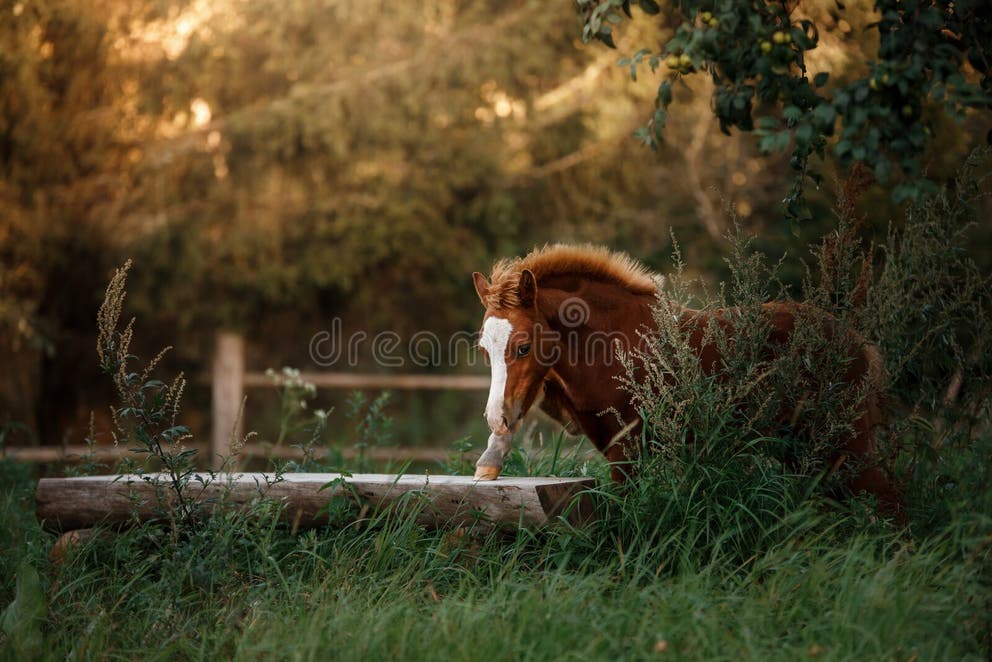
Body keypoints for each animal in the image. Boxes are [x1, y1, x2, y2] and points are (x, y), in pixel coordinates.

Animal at [471, 243, 901, 514]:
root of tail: (860, 343)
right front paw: (490, 460)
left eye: (524, 347)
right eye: (484, 350)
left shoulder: (627, 451)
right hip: (806, 448)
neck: (609, 342)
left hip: (846, 443)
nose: (494, 417)